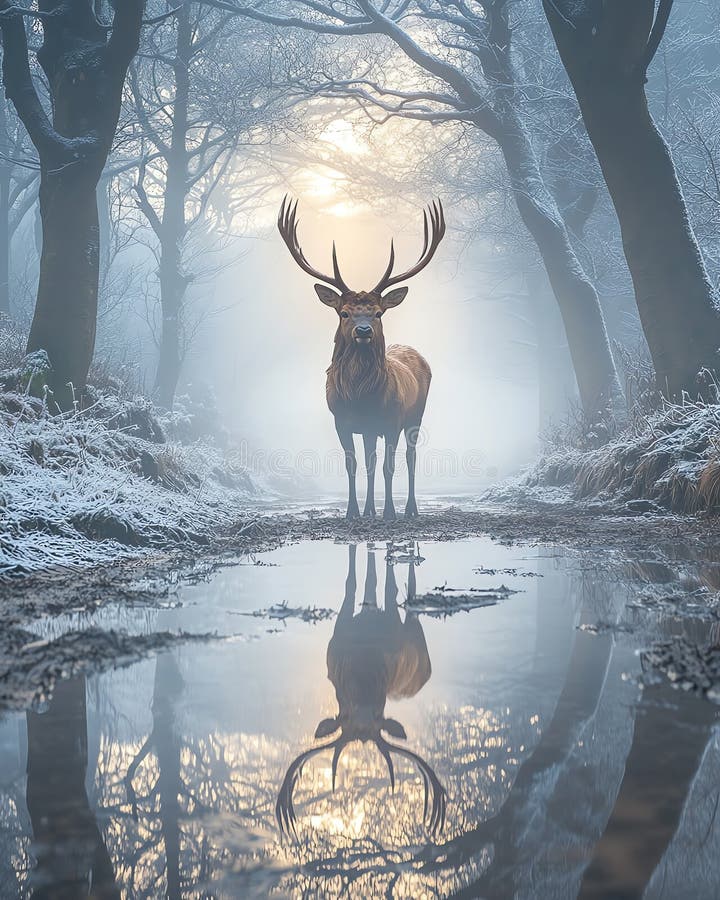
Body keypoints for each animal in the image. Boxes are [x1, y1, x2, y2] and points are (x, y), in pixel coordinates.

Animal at [276, 544, 446, 837]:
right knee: (372, 585)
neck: (364, 667)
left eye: (379, 712)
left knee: (405, 595)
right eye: (345, 714)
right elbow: (353, 584)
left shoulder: (391, 625)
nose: (365, 714)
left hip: (416, 632)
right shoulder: (340, 633)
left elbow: (390, 589)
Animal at [278, 198, 446, 520]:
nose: (364, 330)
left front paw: (390, 513)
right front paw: (353, 512)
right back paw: (370, 510)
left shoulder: (391, 420)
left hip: (415, 416)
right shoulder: (342, 421)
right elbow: (354, 464)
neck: (359, 397)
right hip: (372, 428)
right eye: (344, 313)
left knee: (410, 456)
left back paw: (410, 510)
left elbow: (388, 466)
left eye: (378, 313)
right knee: (372, 461)